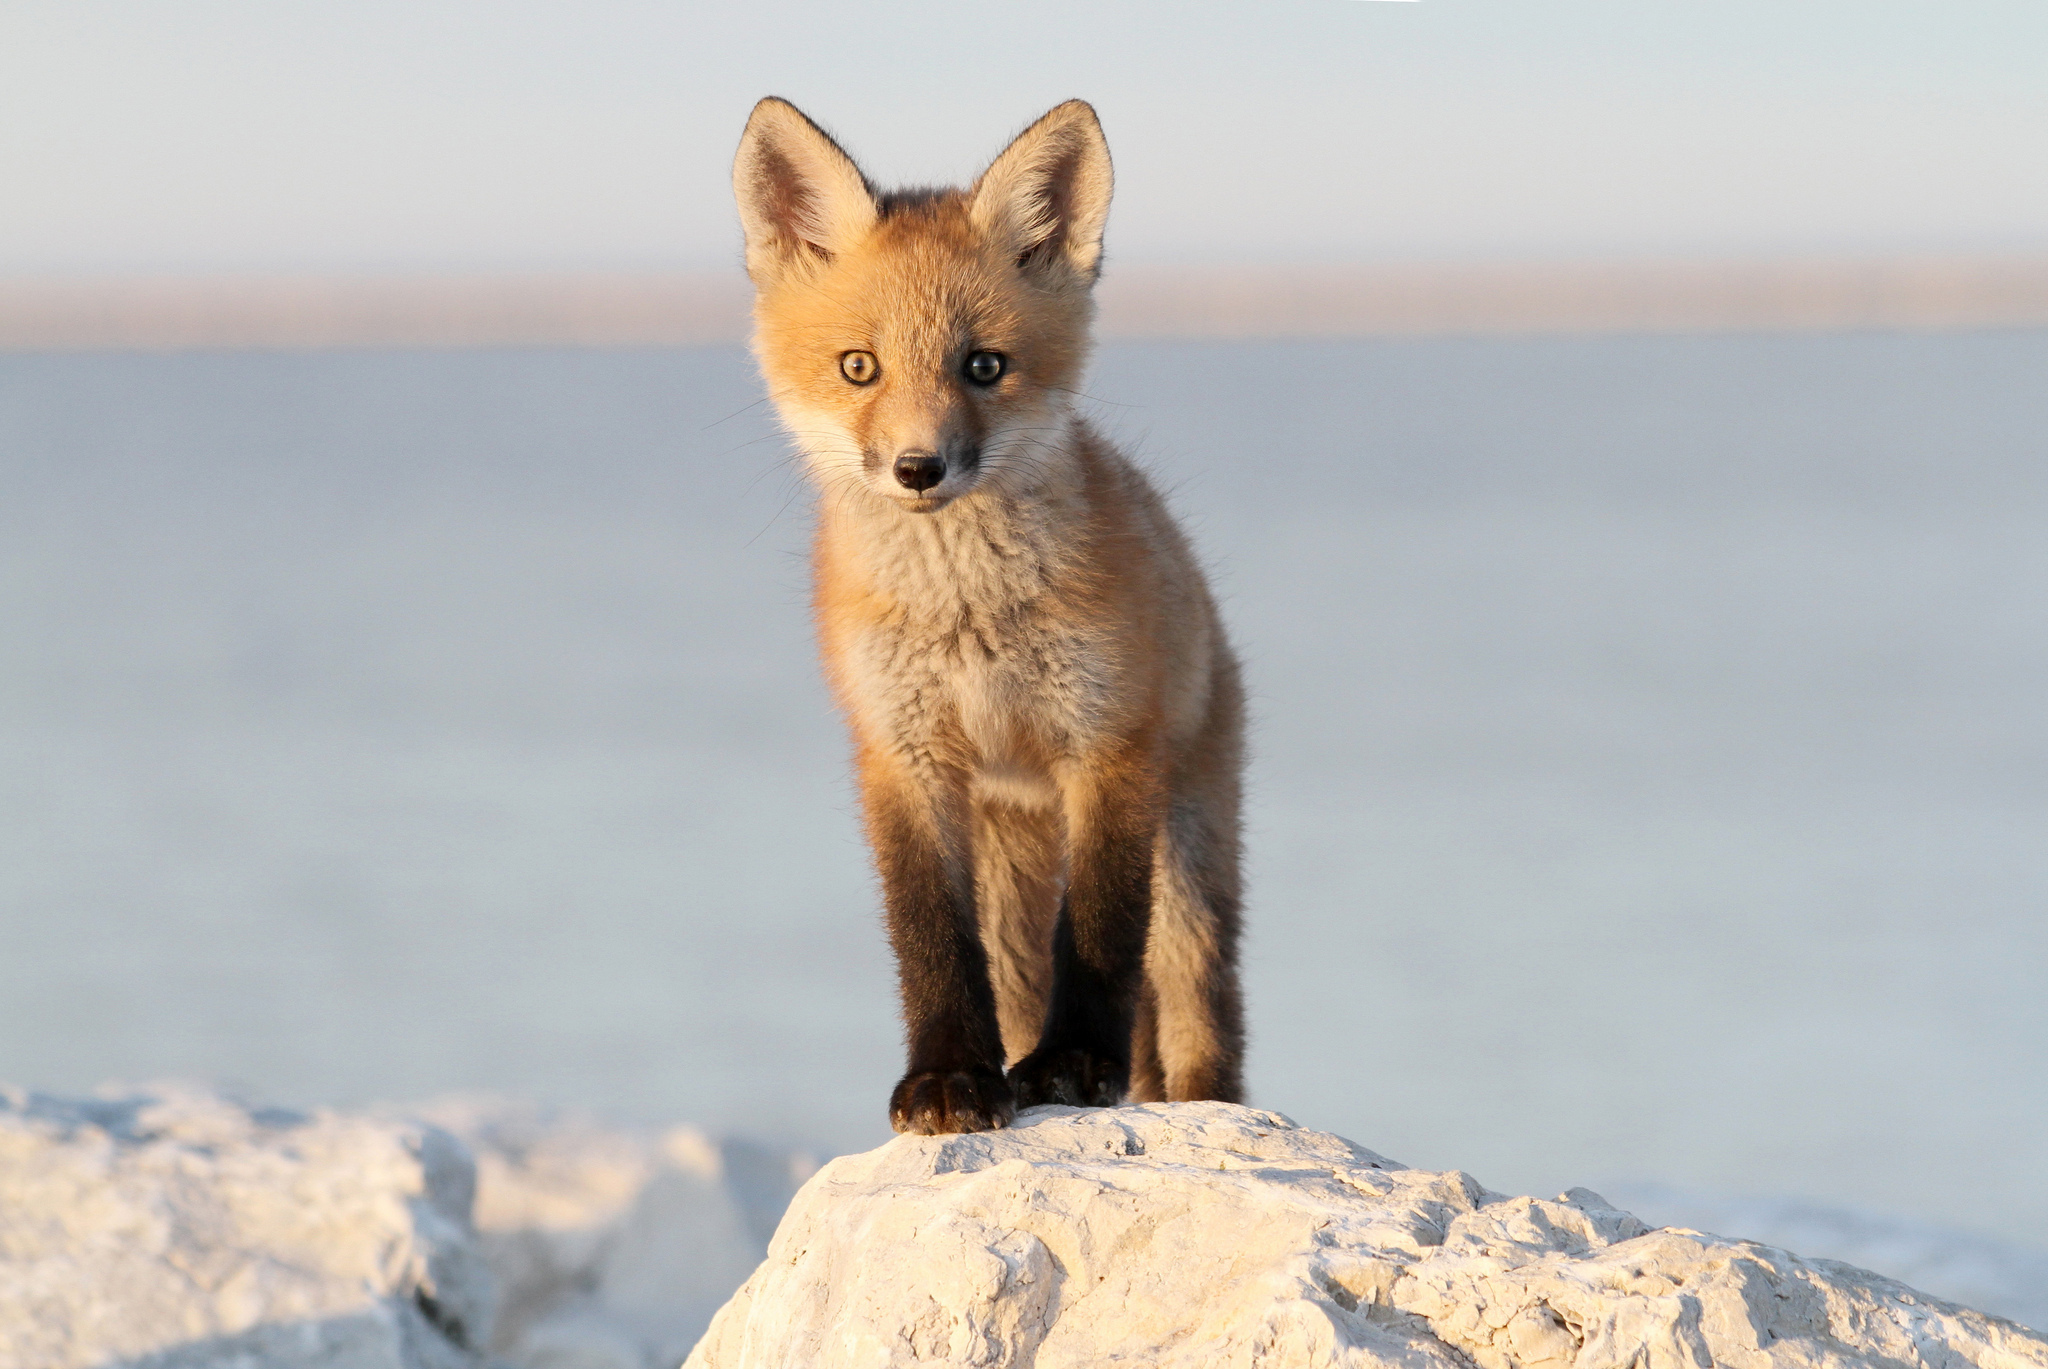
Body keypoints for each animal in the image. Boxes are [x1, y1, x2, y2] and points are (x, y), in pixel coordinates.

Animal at [731, 97, 1246, 1135]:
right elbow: (928, 934)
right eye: (859, 367)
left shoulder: (1107, 747)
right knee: (1013, 978)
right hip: (1009, 880)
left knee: (1196, 1025)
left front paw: (1074, 1064)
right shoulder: (903, 754)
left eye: (983, 365)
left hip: (1186, 873)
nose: (919, 468)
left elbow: (1099, 936)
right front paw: (948, 1076)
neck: (967, 617)